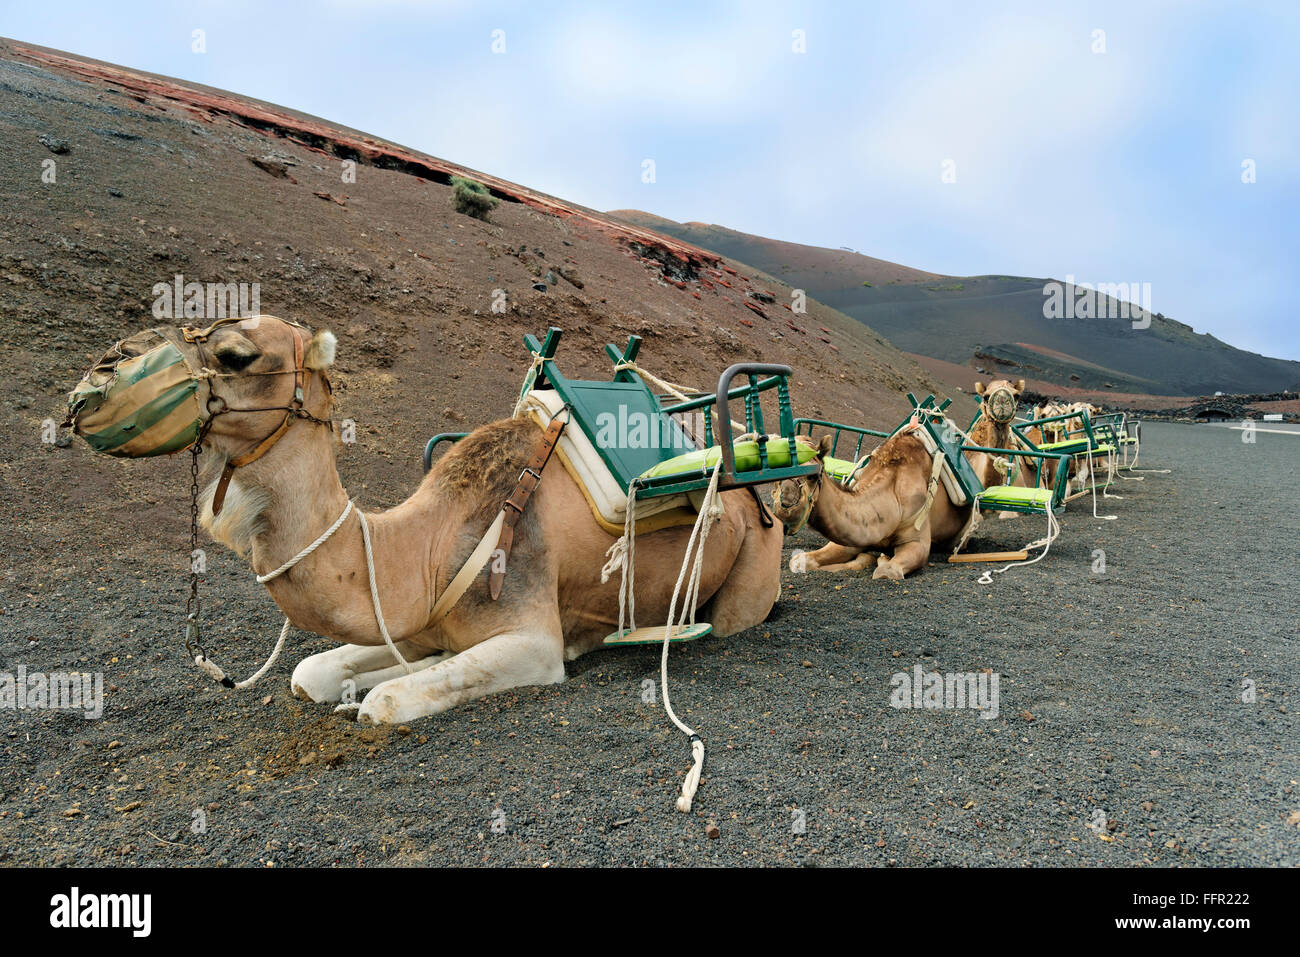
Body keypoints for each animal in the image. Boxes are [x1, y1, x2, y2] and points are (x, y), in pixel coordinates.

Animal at [66, 316, 782, 725]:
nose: (93, 382)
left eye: (236, 354)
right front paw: (350, 681)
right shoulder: (417, 617)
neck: (431, 543)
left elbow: (385, 703)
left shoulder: (532, 639)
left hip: (755, 565)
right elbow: (310, 672)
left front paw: (368, 696)